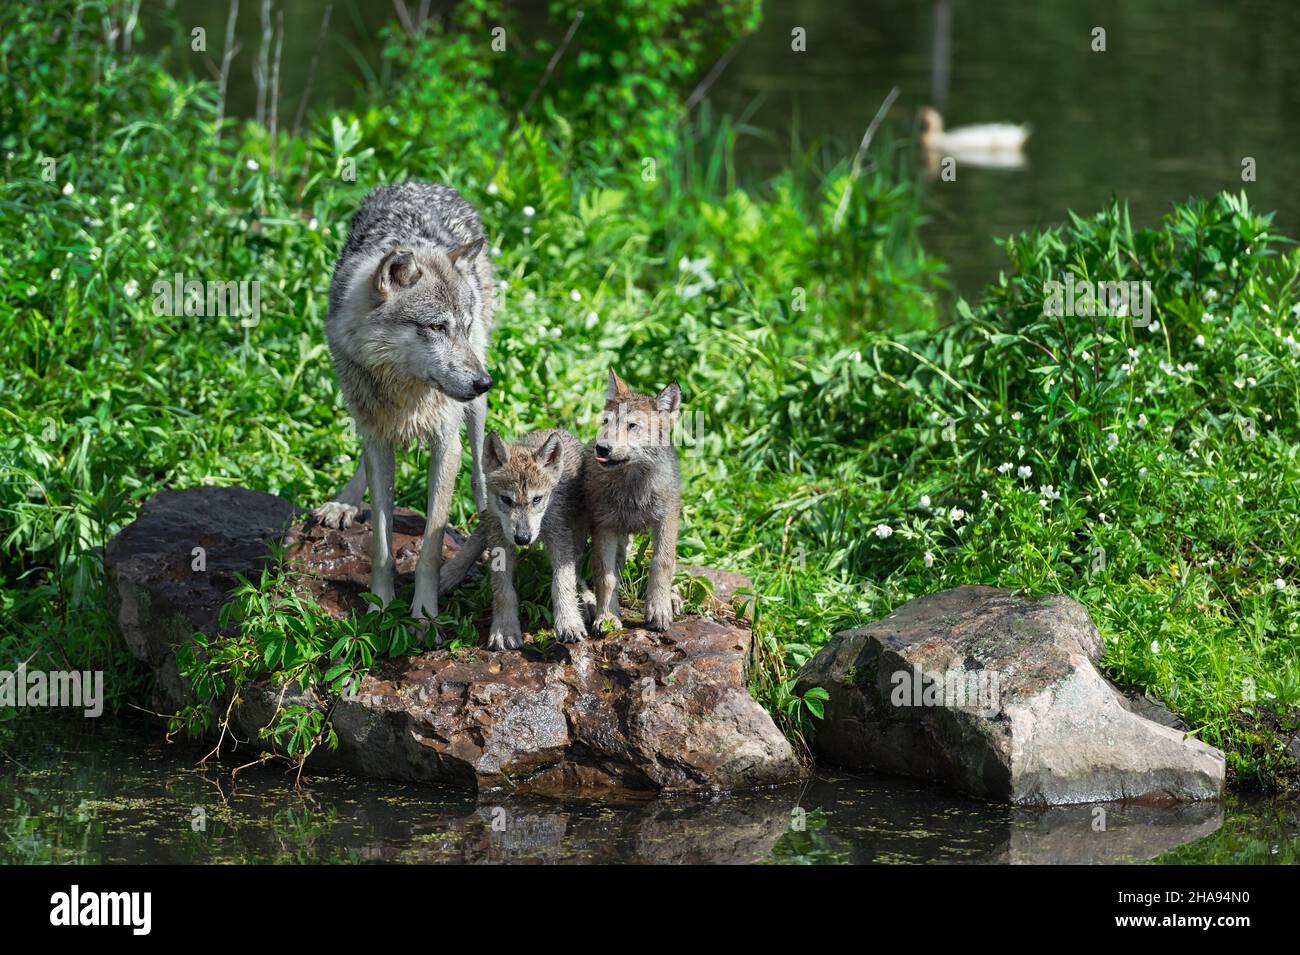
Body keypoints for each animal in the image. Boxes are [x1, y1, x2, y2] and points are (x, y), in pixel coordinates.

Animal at [311, 182, 494, 626]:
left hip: (476, 406)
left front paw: (425, 613)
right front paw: (380, 606)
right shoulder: (378, 436)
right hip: (363, 412)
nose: (484, 382)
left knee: (482, 475)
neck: (408, 390)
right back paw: (344, 502)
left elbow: (430, 545)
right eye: (437, 327)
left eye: (462, 328)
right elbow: (380, 542)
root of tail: (425, 183)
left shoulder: (447, 444)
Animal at [437, 429, 592, 649]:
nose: (523, 538)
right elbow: (503, 590)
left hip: (578, 529)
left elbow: (562, 582)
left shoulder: (560, 539)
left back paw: (586, 600)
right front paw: (505, 629)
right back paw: (447, 574)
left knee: (578, 570)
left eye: (537, 499)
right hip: (492, 519)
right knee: (478, 533)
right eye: (506, 500)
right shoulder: (500, 540)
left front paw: (569, 622)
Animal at [585, 369, 683, 632]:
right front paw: (607, 616)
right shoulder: (605, 527)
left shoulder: (666, 519)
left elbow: (662, 562)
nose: (602, 448)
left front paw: (659, 608)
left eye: (632, 426)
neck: (633, 489)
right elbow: (606, 577)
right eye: (606, 422)